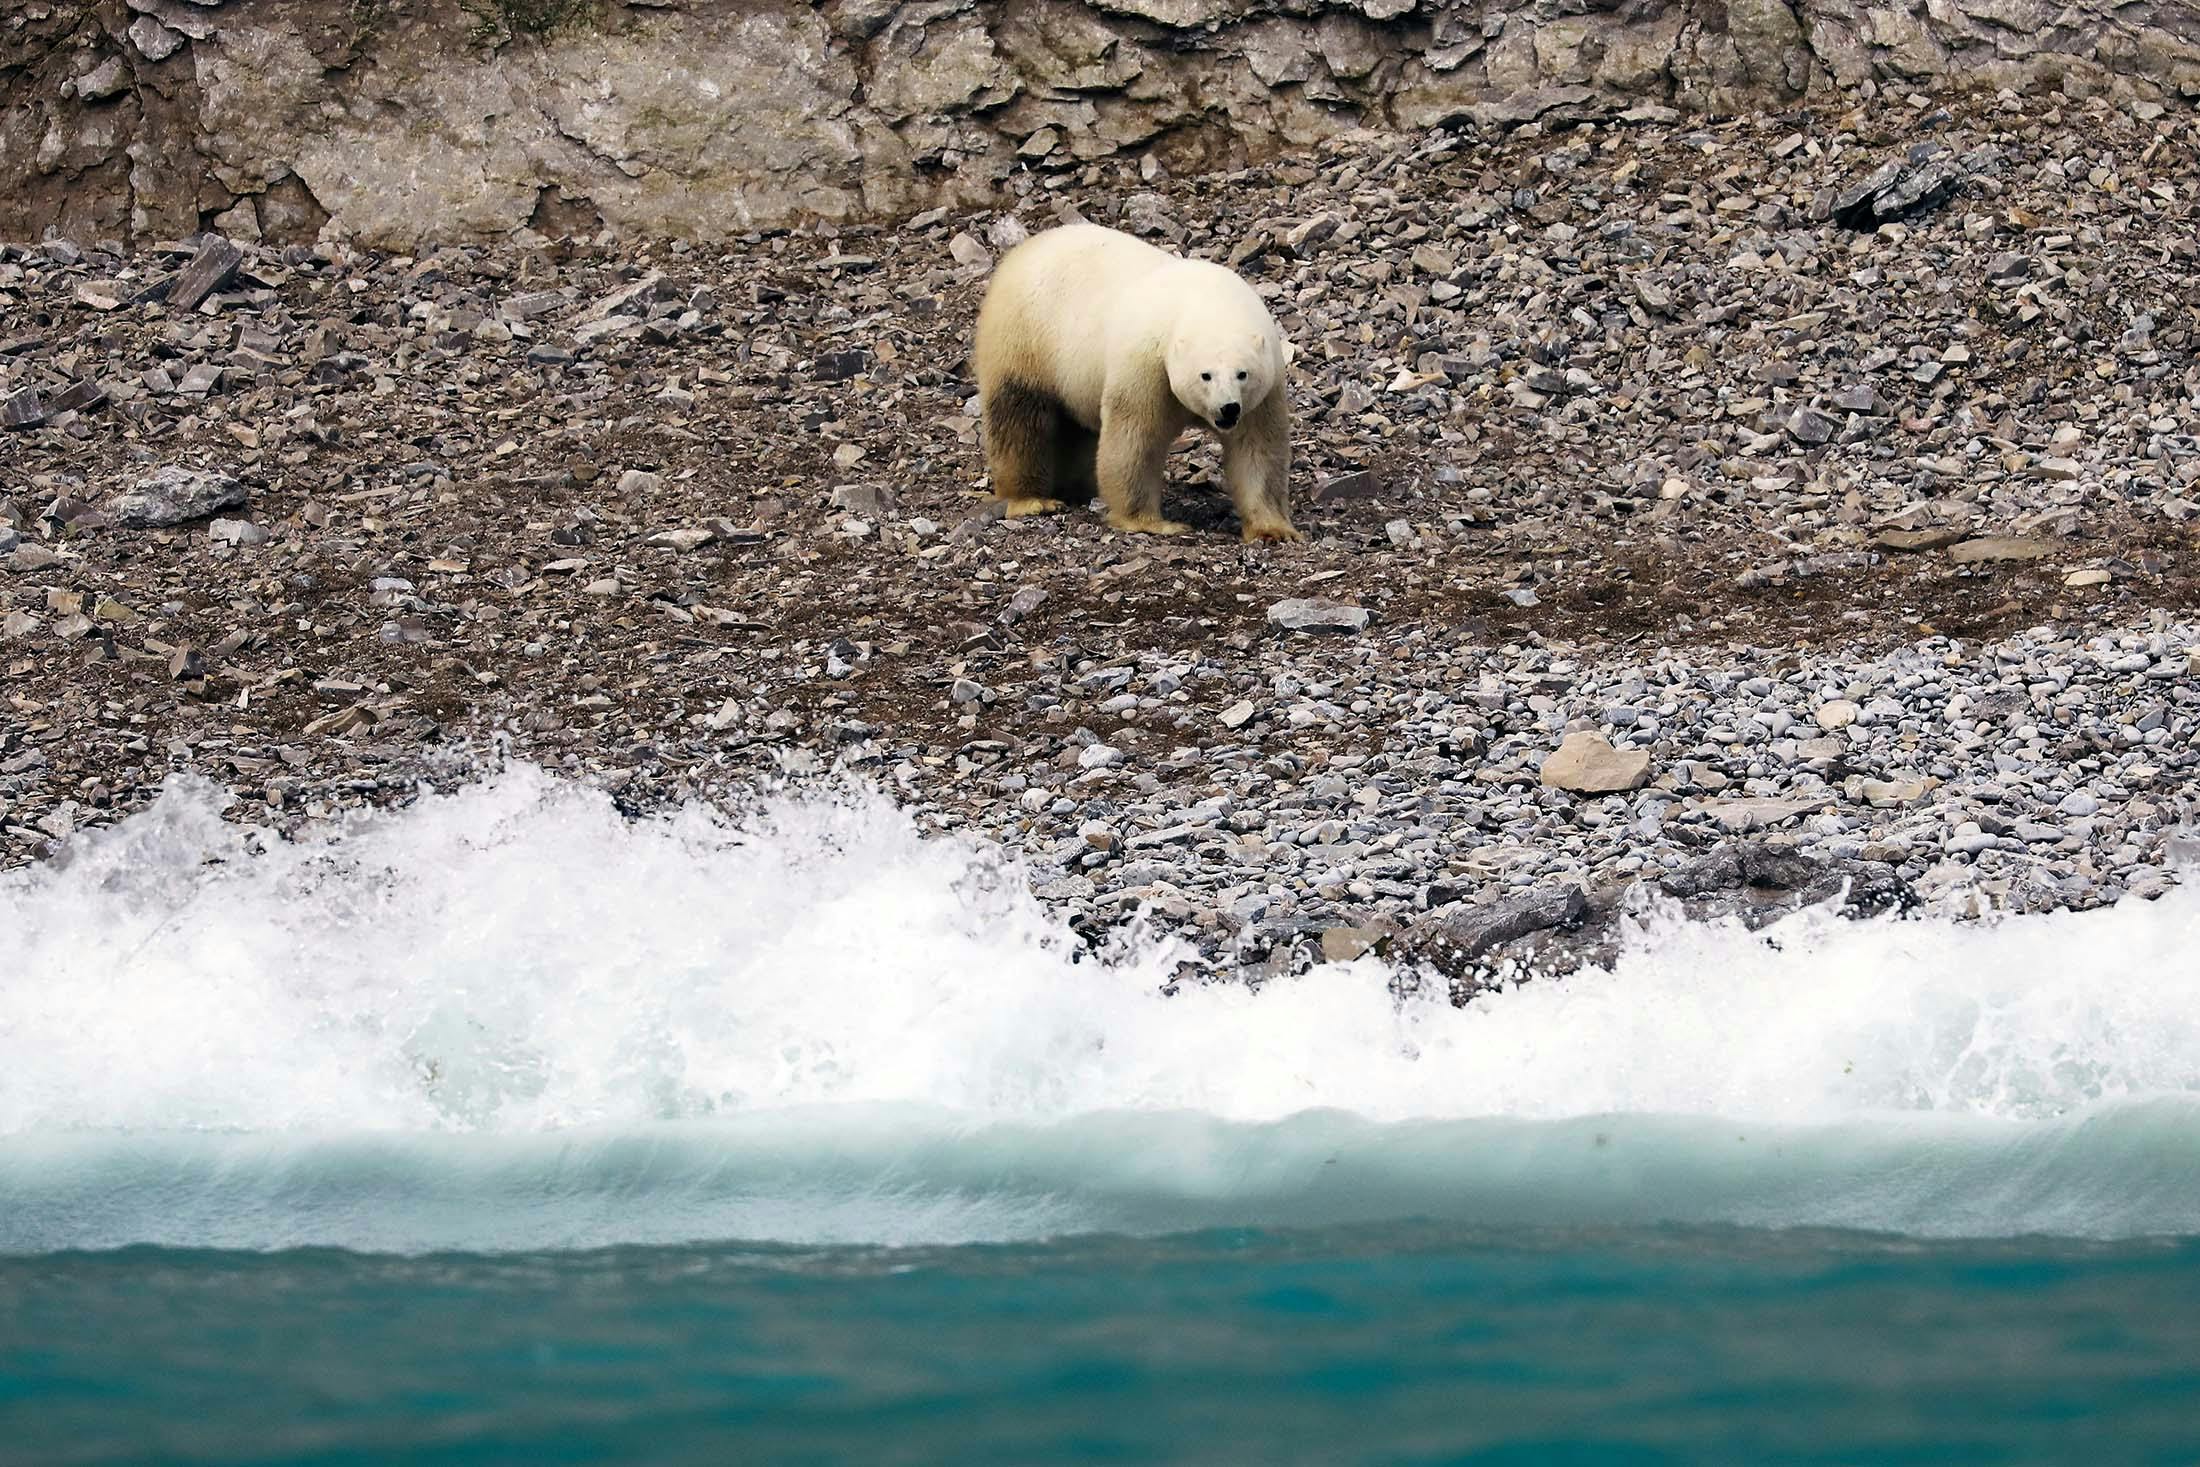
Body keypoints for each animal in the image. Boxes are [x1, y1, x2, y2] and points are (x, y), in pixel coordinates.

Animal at [972, 223, 1301, 543]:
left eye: (1243, 374)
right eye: (1205, 375)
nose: (1228, 408)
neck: (1210, 304)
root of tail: (1021, 251)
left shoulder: (1267, 384)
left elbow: (1256, 448)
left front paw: (1273, 530)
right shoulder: (1147, 364)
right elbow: (1136, 439)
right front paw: (1152, 523)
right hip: (1026, 336)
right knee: (1019, 418)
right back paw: (1032, 499)